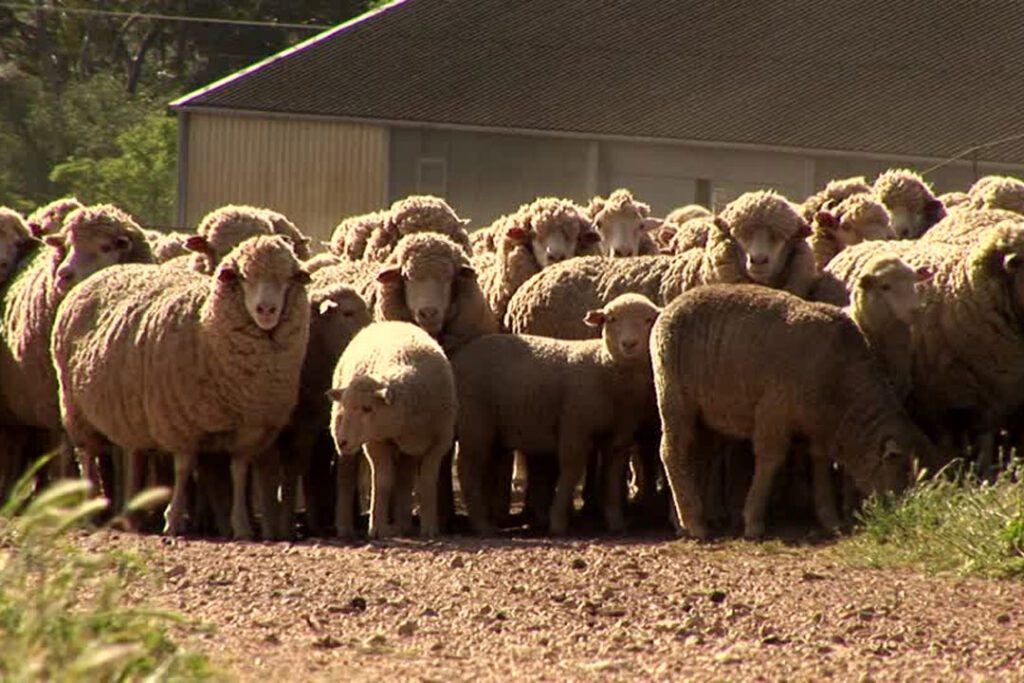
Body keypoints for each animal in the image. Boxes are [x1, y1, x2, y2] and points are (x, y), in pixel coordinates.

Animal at [51, 235, 311, 538]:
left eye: (288, 278)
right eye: (244, 277)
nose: (266, 310)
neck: (205, 325)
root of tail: (101, 274)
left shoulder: (248, 429)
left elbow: (238, 471)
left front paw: (242, 526)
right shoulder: (178, 426)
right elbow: (184, 469)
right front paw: (173, 520)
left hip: (132, 412)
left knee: (133, 454)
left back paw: (131, 516)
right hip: (74, 406)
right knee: (87, 455)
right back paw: (89, 512)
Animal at [328, 321, 456, 539]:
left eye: (368, 408)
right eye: (346, 408)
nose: (342, 441)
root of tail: (385, 322)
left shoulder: (440, 443)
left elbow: (427, 481)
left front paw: (430, 528)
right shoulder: (376, 441)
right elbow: (383, 480)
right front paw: (377, 528)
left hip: (406, 449)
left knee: (404, 478)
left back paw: (403, 525)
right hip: (344, 436)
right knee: (346, 477)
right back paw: (345, 527)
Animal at [453, 294, 662, 535]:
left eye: (648, 320)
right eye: (611, 319)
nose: (629, 344)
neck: (604, 366)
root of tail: (457, 358)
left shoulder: (619, 436)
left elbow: (612, 475)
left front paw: (616, 522)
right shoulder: (574, 425)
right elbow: (571, 470)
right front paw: (558, 522)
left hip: (493, 428)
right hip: (474, 422)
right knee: (468, 470)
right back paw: (483, 526)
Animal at [652, 284, 927, 539]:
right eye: (901, 466)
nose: (902, 511)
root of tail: (670, 306)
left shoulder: (819, 426)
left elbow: (820, 462)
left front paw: (831, 520)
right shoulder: (773, 412)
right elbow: (770, 461)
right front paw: (753, 521)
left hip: (710, 415)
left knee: (696, 457)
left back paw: (683, 520)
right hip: (675, 398)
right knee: (672, 452)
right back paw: (694, 524)